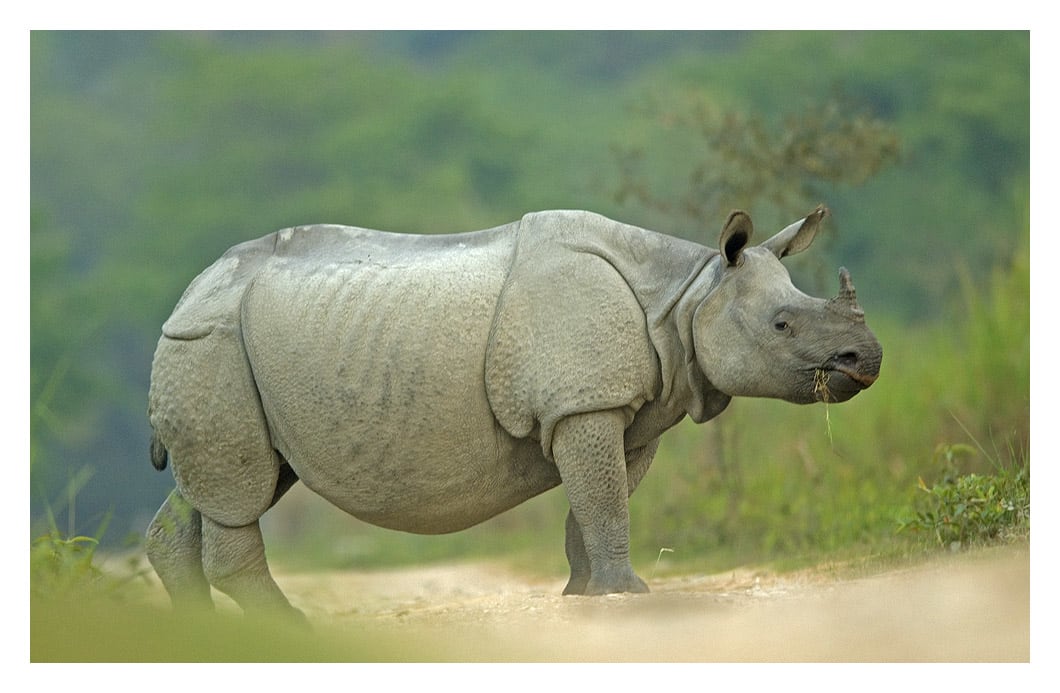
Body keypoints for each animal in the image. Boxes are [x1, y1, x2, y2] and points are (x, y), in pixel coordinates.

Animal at [146, 206, 881, 618]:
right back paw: (290, 627)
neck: (688, 293)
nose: (865, 358)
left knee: (226, 488)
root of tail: (187, 295)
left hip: (223, 350)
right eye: (783, 325)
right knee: (237, 491)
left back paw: (199, 637)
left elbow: (596, 502)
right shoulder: (584, 403)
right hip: (208, 344)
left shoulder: (622, 410)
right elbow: (604, 499)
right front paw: (629, 594)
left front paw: (586, 594)